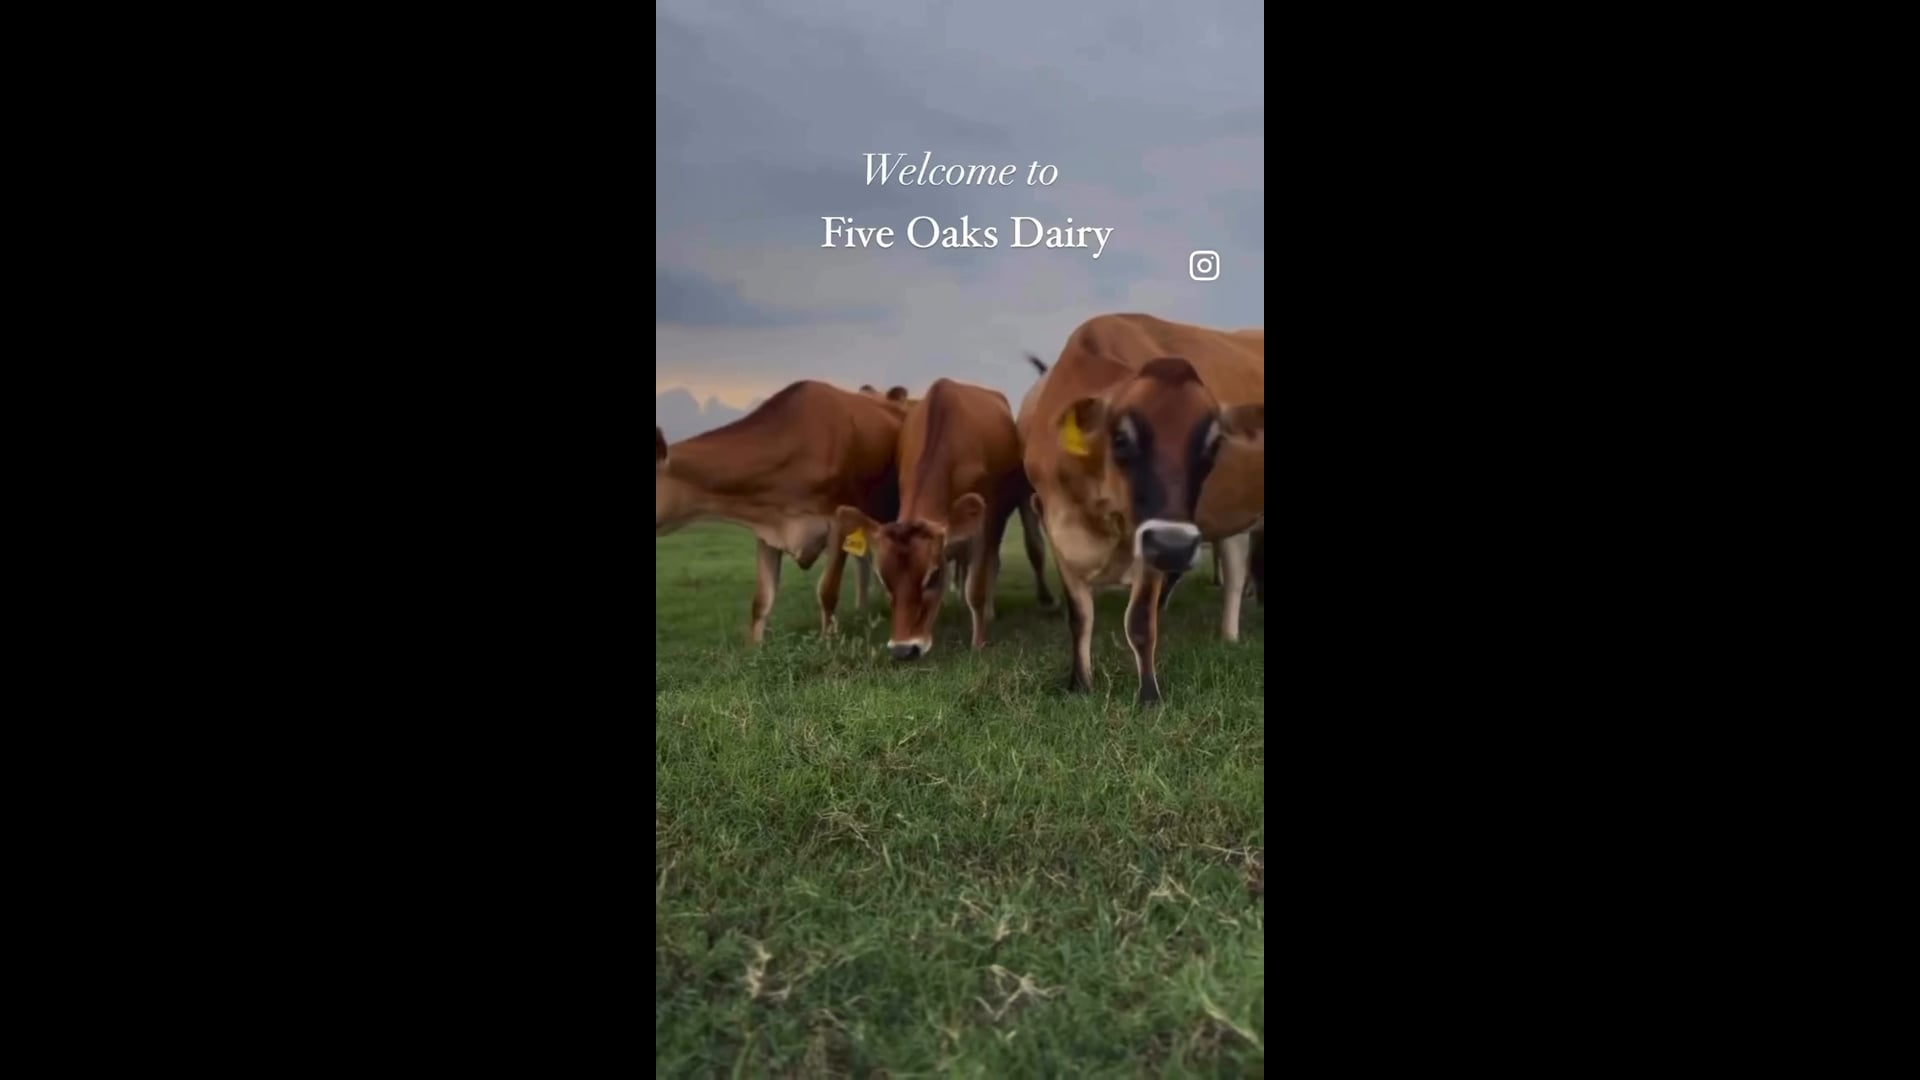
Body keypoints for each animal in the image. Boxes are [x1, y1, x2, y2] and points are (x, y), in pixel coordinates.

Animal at [655, 380, 903, 644]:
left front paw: (827, 642)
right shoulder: (768, 529)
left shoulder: (837, 521)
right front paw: (753, 648)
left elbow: (827, 590)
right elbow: (762, 600)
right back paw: (862, 610)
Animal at [834, 379, 1052, 660]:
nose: (904, 649)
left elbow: (976, 585)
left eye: (932, 575)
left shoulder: (985, 522)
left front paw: (978, 642)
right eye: (884, 579)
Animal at [1019, 313, 1265, 704]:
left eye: (1214, 446)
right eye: (1121, 439)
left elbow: (1139, 622)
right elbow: (1079, 616)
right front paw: (1079, 683)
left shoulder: (1149, 540)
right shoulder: (1051, 518)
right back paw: (1229, 637)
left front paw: (1149, 696)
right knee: (1236, 569)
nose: (1175, 546)